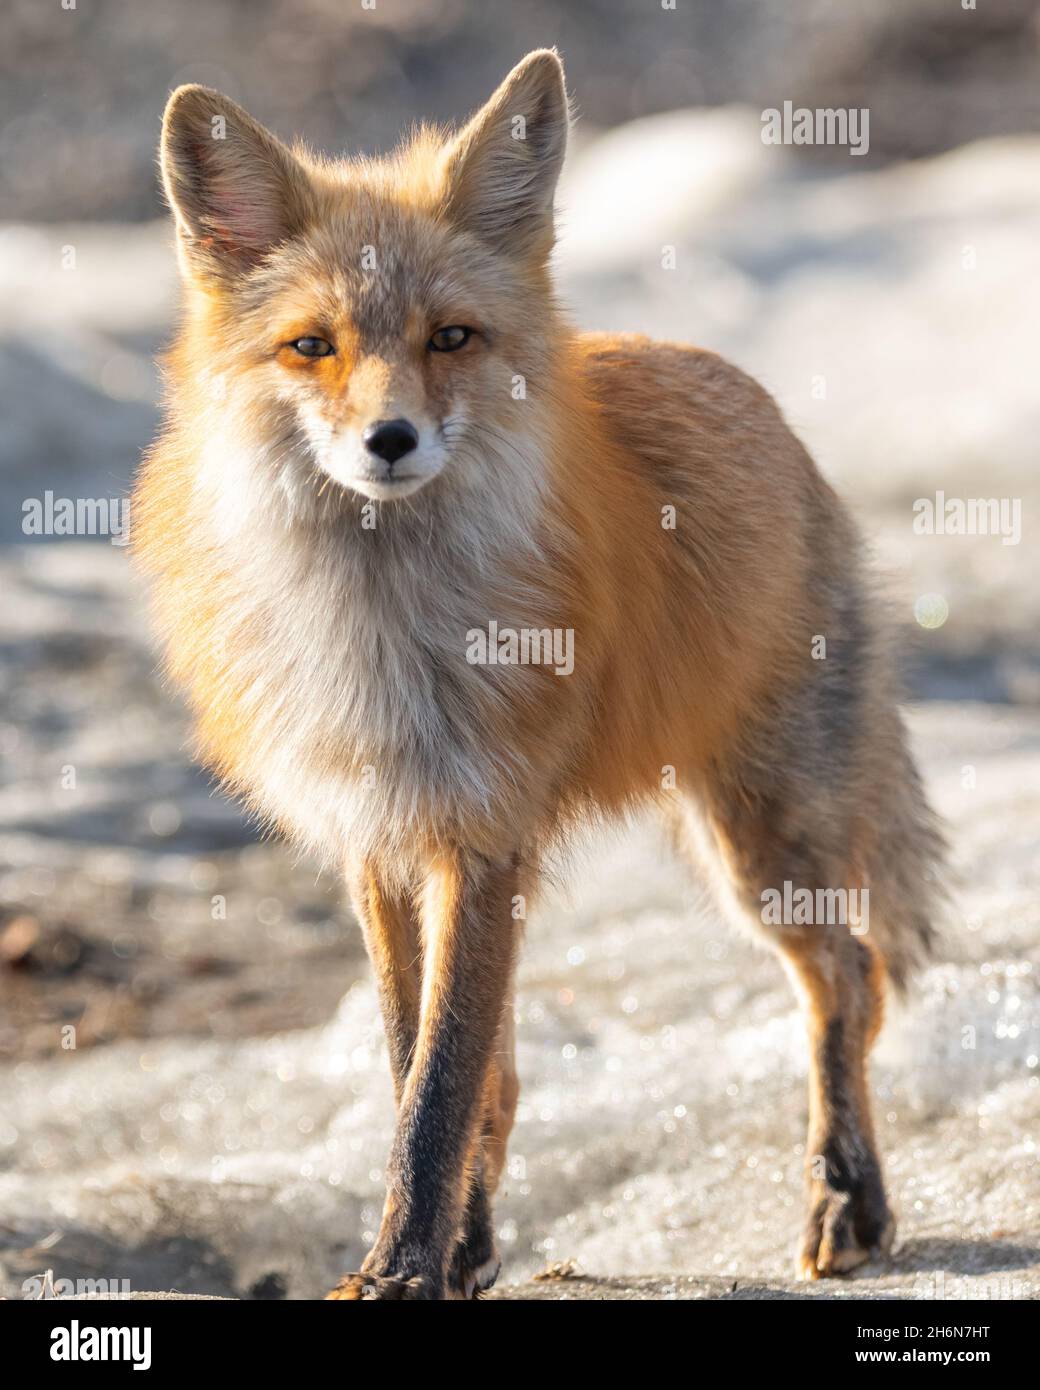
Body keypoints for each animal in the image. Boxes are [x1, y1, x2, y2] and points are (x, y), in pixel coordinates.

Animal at [133, 49, 946, 1299]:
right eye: (313, 345)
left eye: (450, 338)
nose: (389, 441)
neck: (384, 631)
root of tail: (742, 387)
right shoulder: (381, 843)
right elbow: (423, 1067)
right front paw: (440, 1253)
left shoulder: (480, 834)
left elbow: (437, 1092)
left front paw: (404, 1265)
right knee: (515, 1073)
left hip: (760, 843)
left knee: (846, 974)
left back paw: (845, 1197)